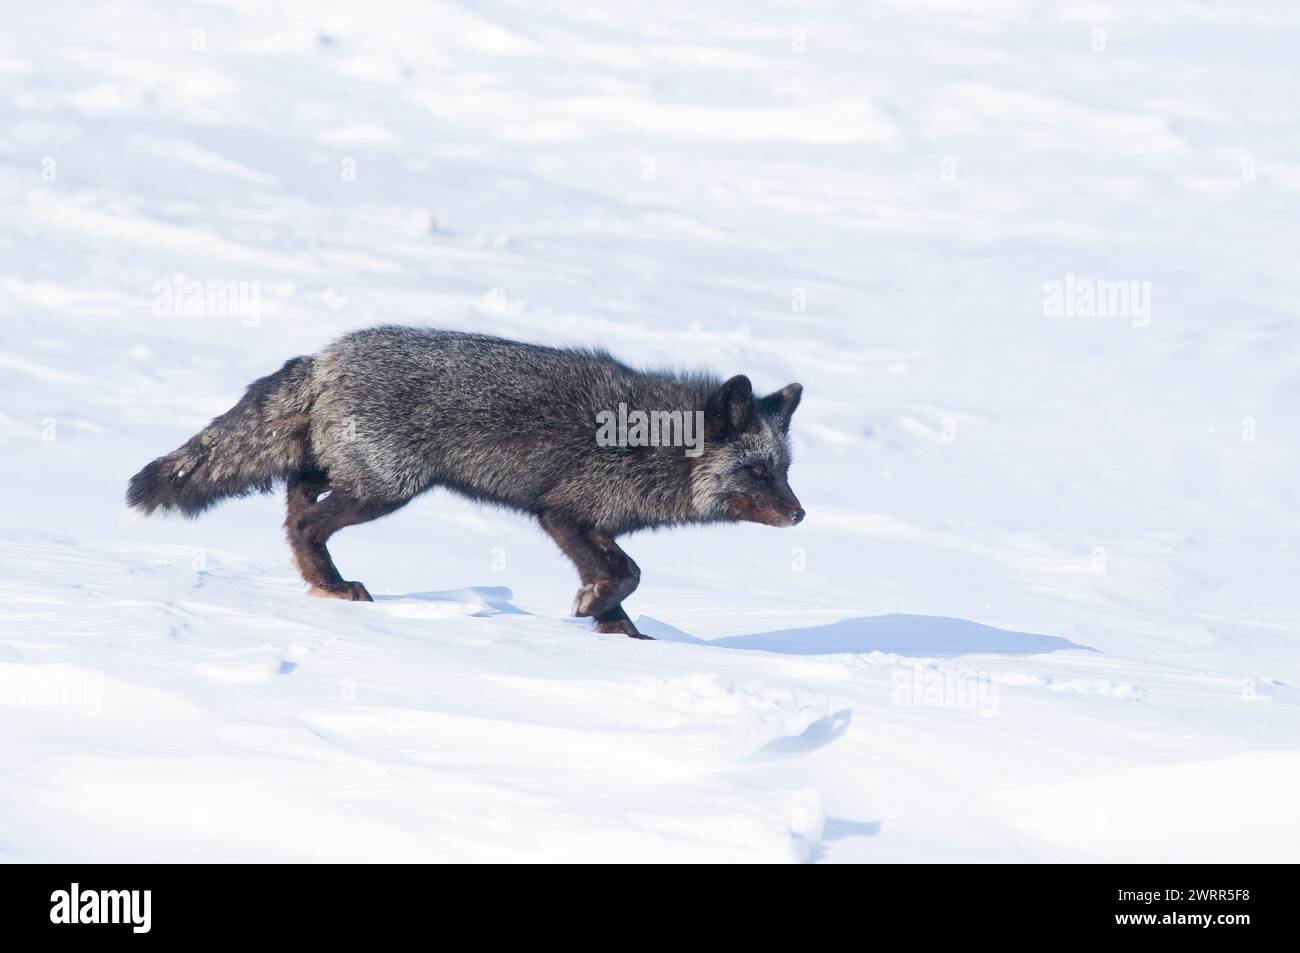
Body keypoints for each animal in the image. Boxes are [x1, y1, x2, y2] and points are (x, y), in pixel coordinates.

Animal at [126, 326, 804, 639]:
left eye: (785, 470)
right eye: (757, 471)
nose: (800, 516)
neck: (650, 445)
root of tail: (327, 354)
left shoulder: (581, 521)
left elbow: (619, 579)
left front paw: (620, 633)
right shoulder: (563, 513)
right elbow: (627, 573)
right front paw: (596, 611)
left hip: (341, 470)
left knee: (294, 500)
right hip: (385, 490)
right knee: (305, 522)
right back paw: (334, 587)